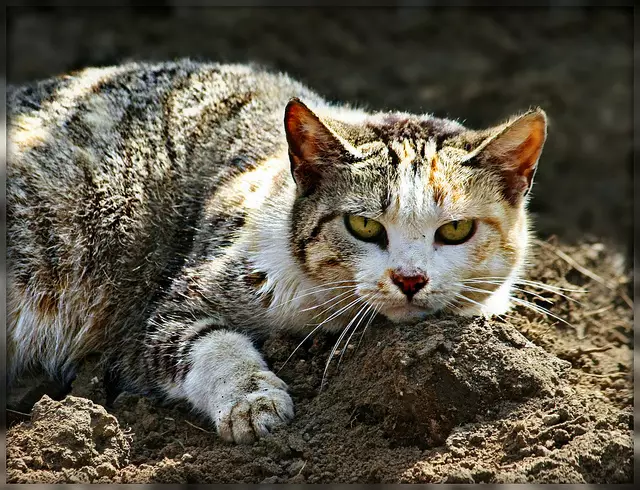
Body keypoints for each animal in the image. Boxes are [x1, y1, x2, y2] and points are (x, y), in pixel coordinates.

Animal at [5, 57, 548, 444]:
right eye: (363, 224)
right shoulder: (160, 313)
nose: (409, 279)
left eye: (455, 230)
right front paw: (253, 401)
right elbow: (207, 342)